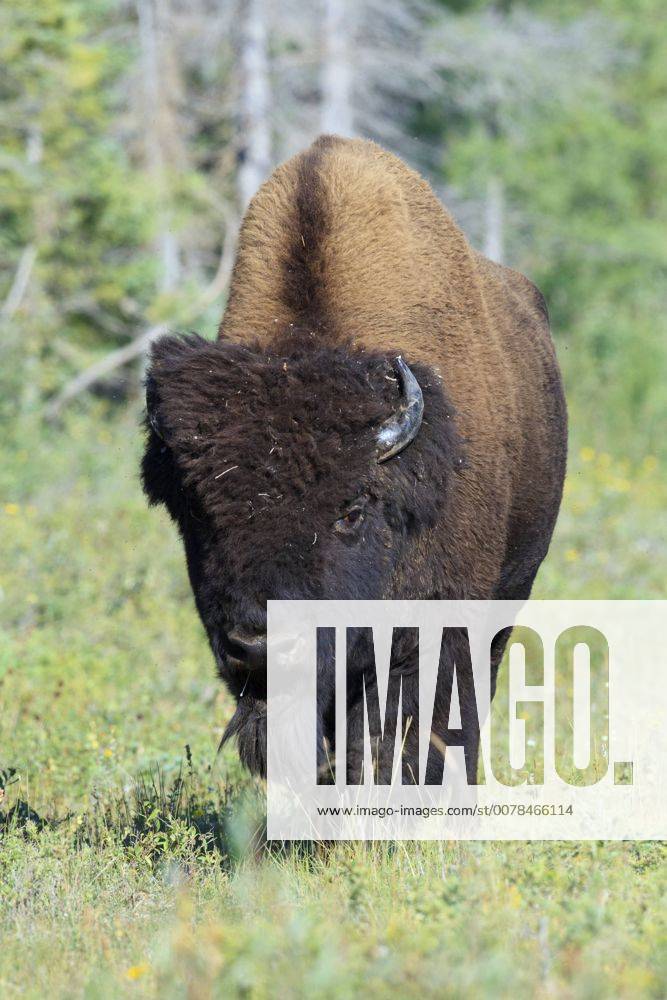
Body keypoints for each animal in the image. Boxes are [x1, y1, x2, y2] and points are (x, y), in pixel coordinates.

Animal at [141, 135, 567, 782]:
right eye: (200, 514)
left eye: (351, 512)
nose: (259, 644)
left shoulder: (433, 632)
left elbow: (404, 732)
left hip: (512, 590)